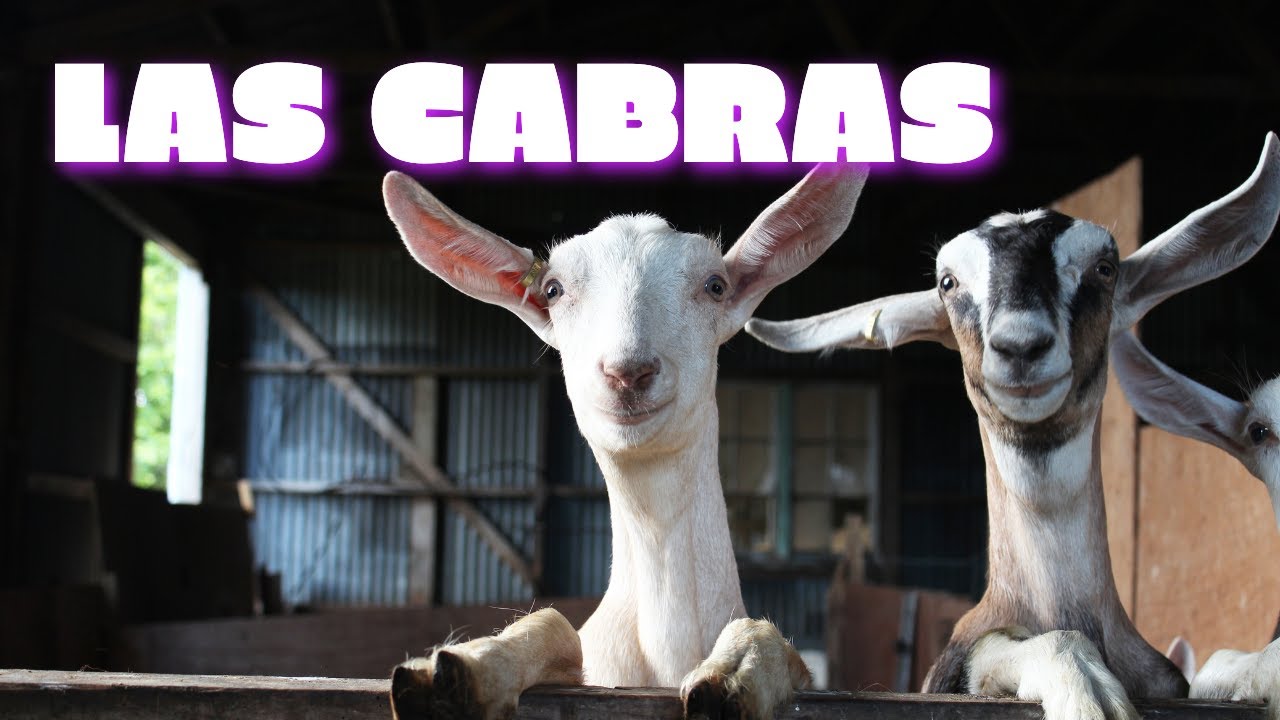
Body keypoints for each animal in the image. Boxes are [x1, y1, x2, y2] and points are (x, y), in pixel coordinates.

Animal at [380, 163, 869, 720]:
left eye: (715, 285)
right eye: (552, 288)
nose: (627, 371)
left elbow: (776, 645)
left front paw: (733, 678)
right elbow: (553, 623)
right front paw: (460, 671)